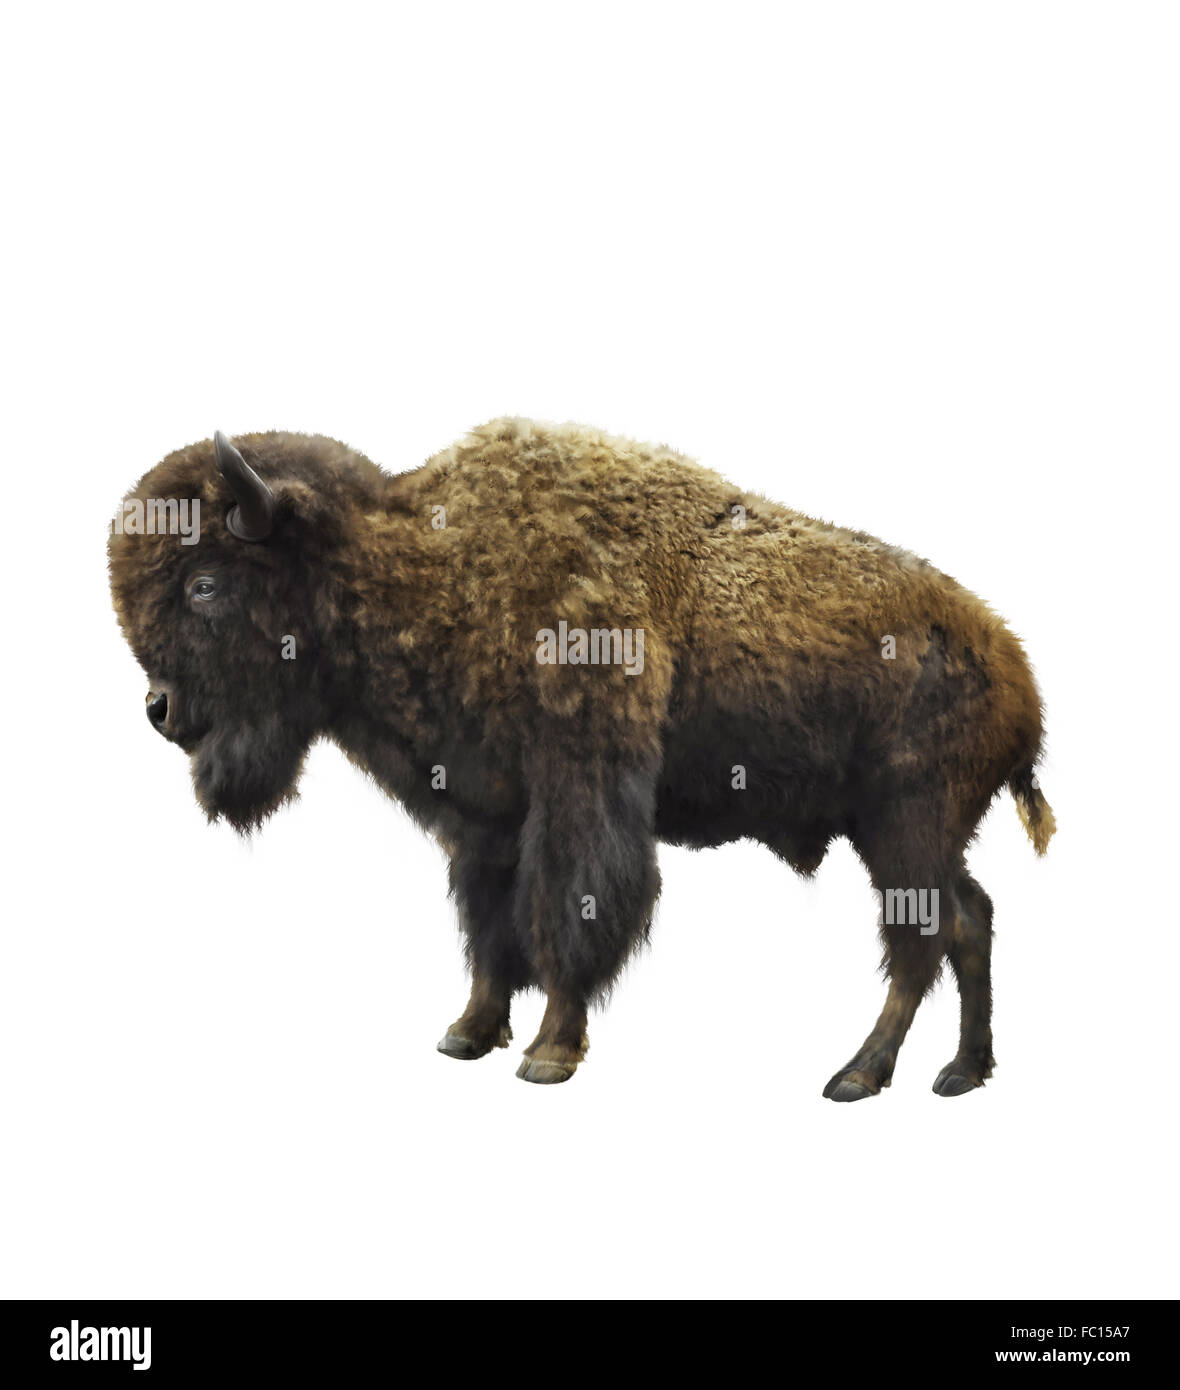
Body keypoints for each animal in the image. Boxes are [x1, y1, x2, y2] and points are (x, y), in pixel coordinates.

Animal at [109, 418, 1054, 1095]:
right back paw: (962, 1073)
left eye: (204, 584)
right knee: (969, 919)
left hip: (904, 825)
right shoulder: (481, 817)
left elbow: (569, 908)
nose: (160, 712)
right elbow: (489, 931)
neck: (417, 566)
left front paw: (548, 1054)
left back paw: (858, 1075)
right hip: (910, 831)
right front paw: (466, 1036)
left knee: (921, 941)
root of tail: (1015, 671)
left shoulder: (577, 794)